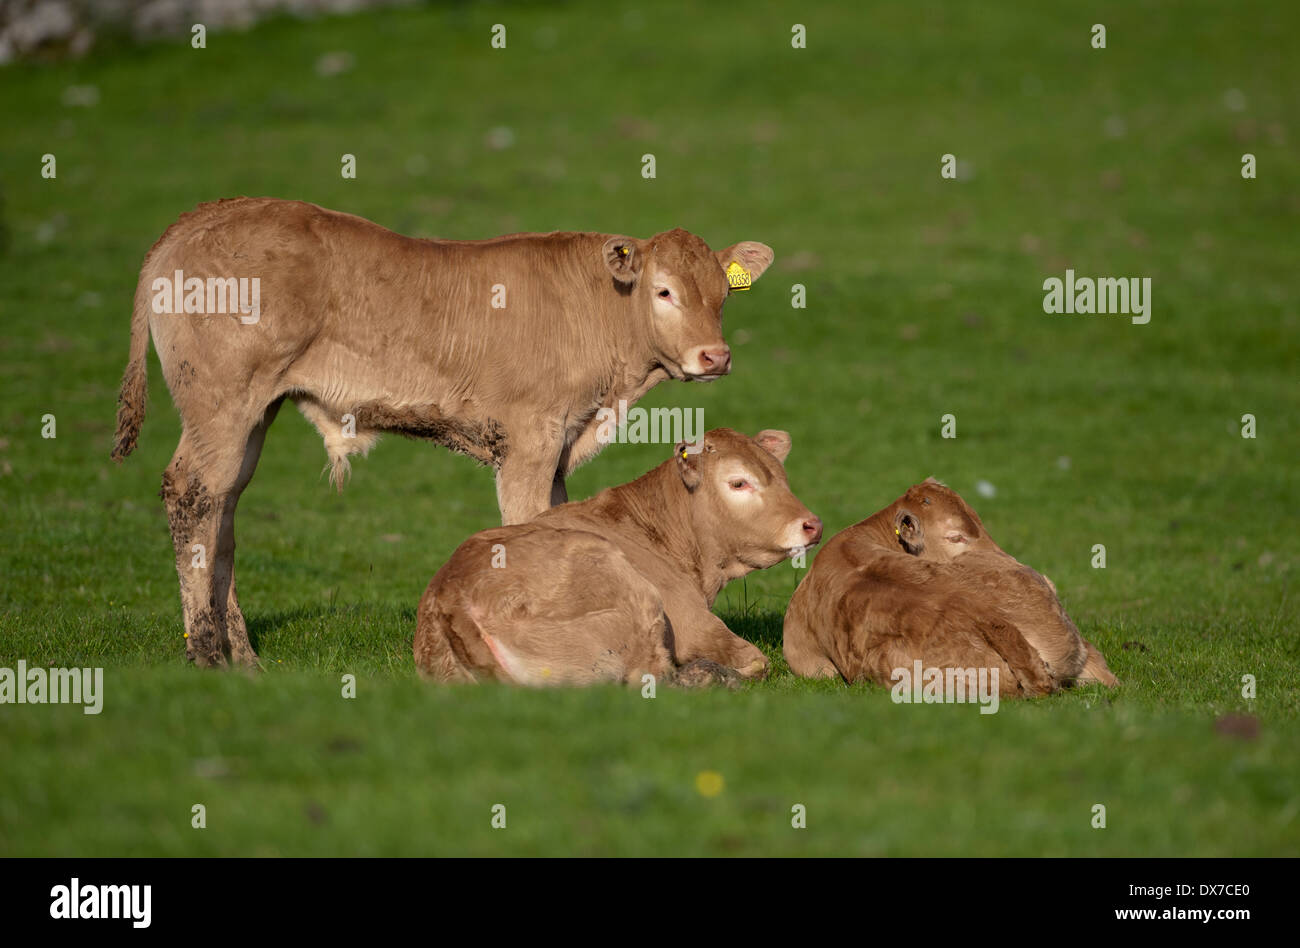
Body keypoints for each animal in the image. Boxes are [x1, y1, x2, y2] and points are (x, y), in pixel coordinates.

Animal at [109, 197, 774, 667]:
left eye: (721, 295)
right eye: (664, 291)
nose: (715, 356)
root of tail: (202, 215)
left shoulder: (559, 446)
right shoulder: (529, 439)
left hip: (251, 414)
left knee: (223, 508)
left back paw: (243, 656)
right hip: (220, 404)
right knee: (191, 493)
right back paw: (205, 652)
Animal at [414, 428, 822, 686]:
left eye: (782, 477)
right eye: (738, 482)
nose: (812, 524)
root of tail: (451, 595)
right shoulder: (692, 623)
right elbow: (757, 661)